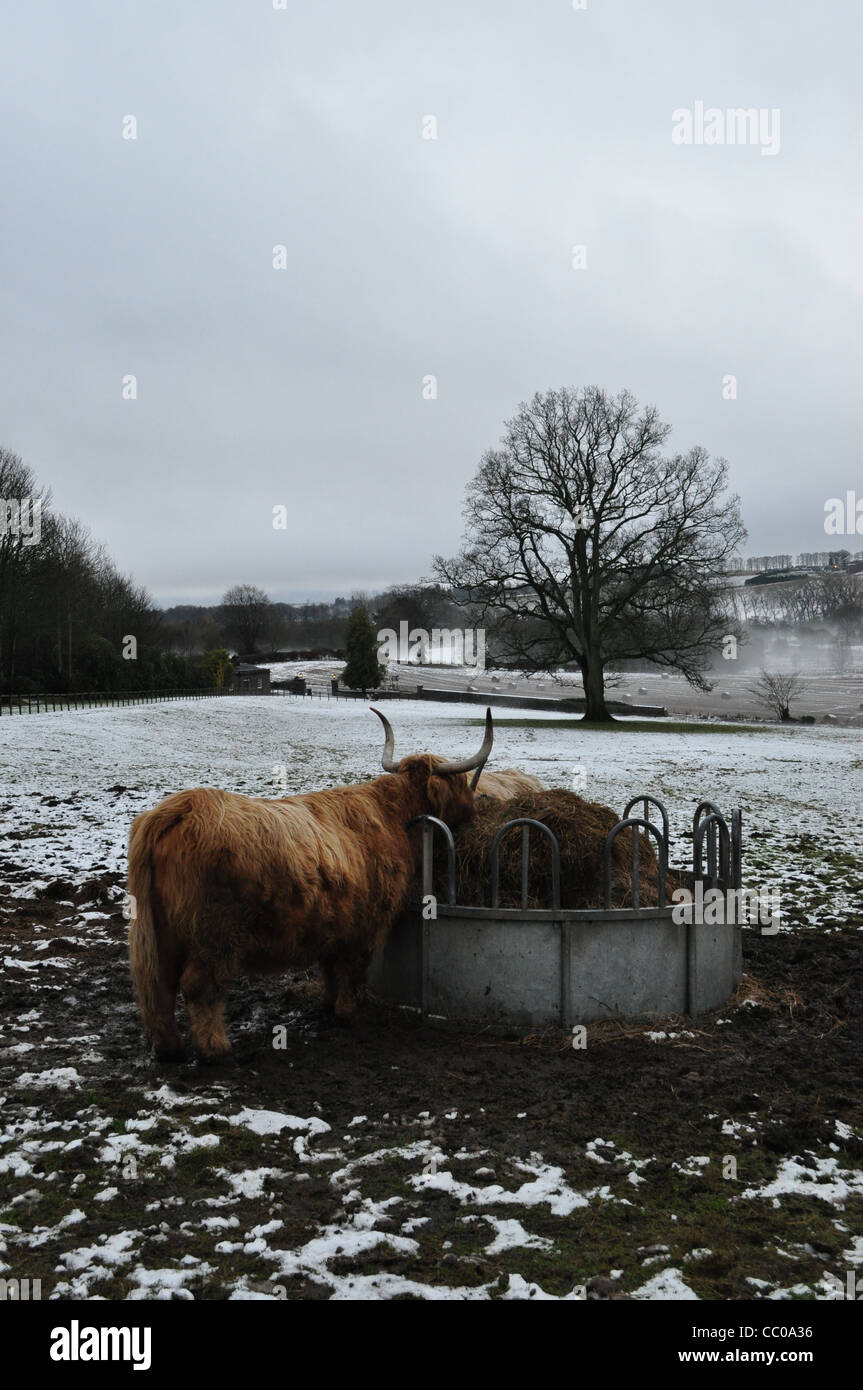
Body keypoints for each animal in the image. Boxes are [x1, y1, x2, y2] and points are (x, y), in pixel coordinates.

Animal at [127, 708, 493, 1062]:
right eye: (460, 782)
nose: (476, 806)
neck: (395, 819)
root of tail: (182, 807)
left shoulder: (334, 924)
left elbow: (330, 968)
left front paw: (329, 1006)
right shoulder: (369, 925)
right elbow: (353, 970)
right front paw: (348, 1012)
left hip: (161, 933)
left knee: (158, 984)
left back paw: (169, 1048)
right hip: (215, 935)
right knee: (199, 986)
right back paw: (215, 1050)